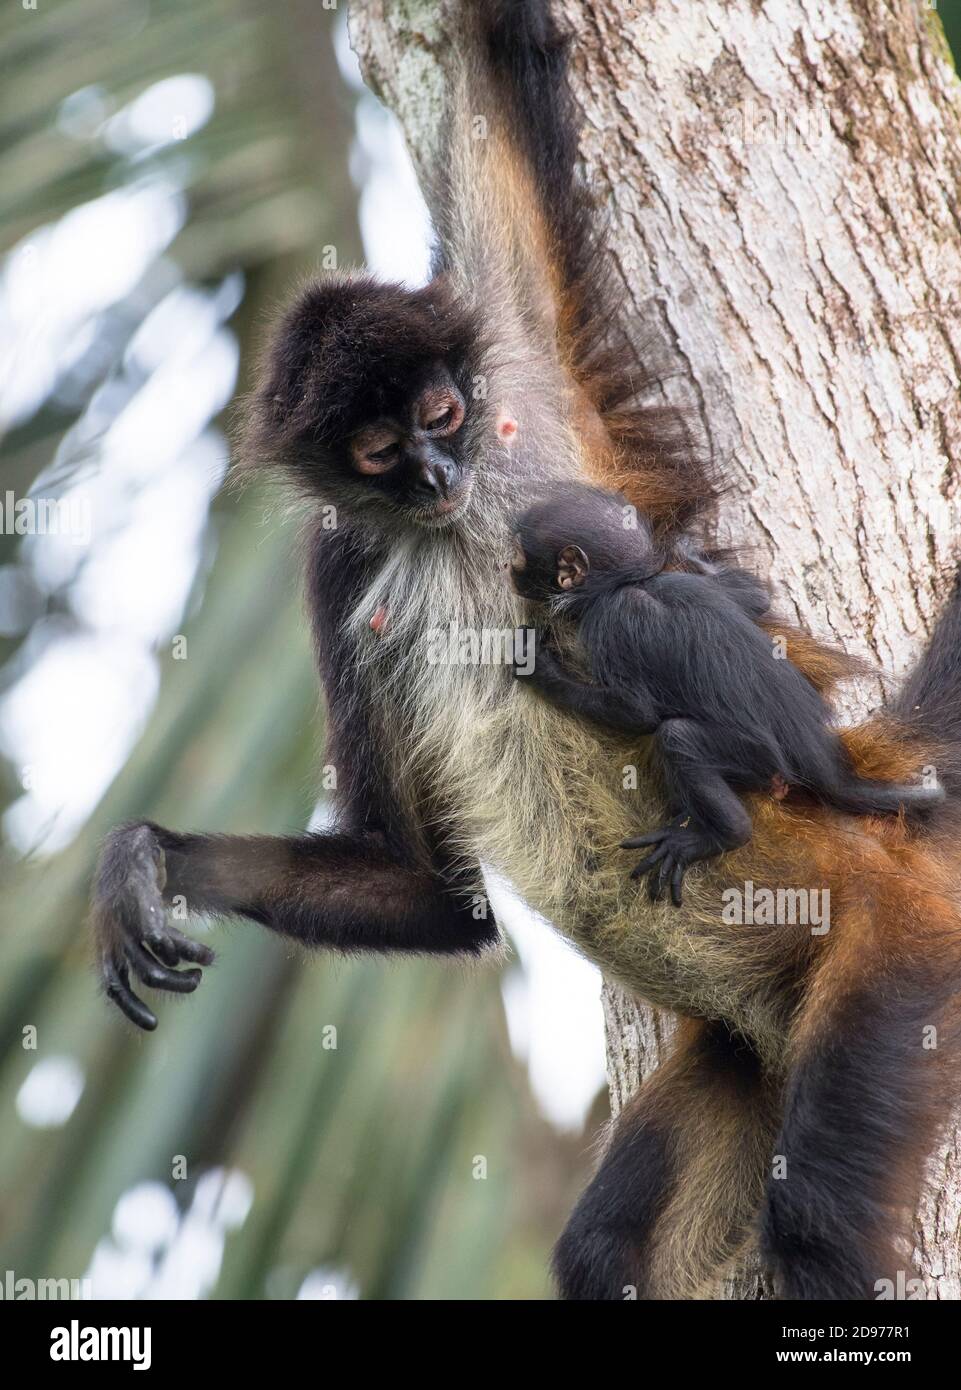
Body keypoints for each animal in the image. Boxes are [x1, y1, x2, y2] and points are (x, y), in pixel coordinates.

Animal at [509, 484, 944, 906]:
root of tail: (815, 748)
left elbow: (637, 713)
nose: (507, 569)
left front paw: (540, 668)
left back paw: (720, 835)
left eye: (517, 556)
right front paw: (695, 556)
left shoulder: (612, 619)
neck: (632, 583)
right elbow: (756, 600)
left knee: (677, 735)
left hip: (758, 758)